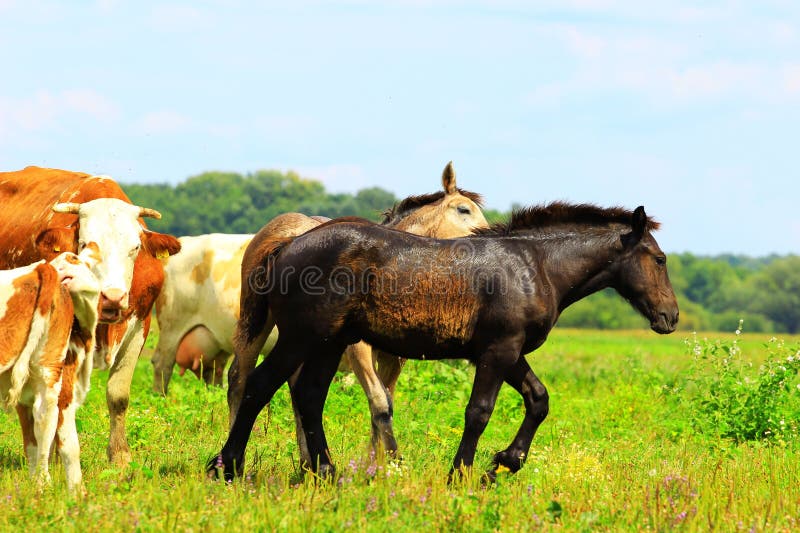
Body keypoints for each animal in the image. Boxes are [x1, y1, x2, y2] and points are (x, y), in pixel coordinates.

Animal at [0, 166, 182, 465]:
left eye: (135, 247)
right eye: (84, 244)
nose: (112, 297)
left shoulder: (140, 326)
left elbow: (118, 395)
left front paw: (120, 456)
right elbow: (60, 397)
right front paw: (56, 456)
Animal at [0, 249, 101, 492]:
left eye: (74, 259)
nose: (60, 267)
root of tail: (39, 268)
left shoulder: (25, 396)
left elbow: (33, 443)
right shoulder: (65, 391)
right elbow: (69, 445)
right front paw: (77, 492)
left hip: (46, 365)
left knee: (43, 419)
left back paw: (41, 484)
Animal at [208, 202, 679, 482]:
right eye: (659, 259)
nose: (670, 318)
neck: (536, 266)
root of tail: (287, 244)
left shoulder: (509, 352)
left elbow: (539, 399)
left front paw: (503, 464)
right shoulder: (498, 351)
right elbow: (479, 411)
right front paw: (463, 474)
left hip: (329, 342)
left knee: (307, 395)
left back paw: (326, 471)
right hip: (302, 337)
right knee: (258, 386)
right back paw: (226, 467)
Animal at [226, 162, 488, 464]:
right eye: (463, 209)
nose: (490, 235)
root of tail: (288, 238)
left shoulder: (393, 359)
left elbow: (386, 403)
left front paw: (376, 464)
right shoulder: (359, 350)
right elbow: (379, 402)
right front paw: (388, 462)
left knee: (294, 387)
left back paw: (306, 462)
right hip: (255, 323)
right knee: (239, 378)